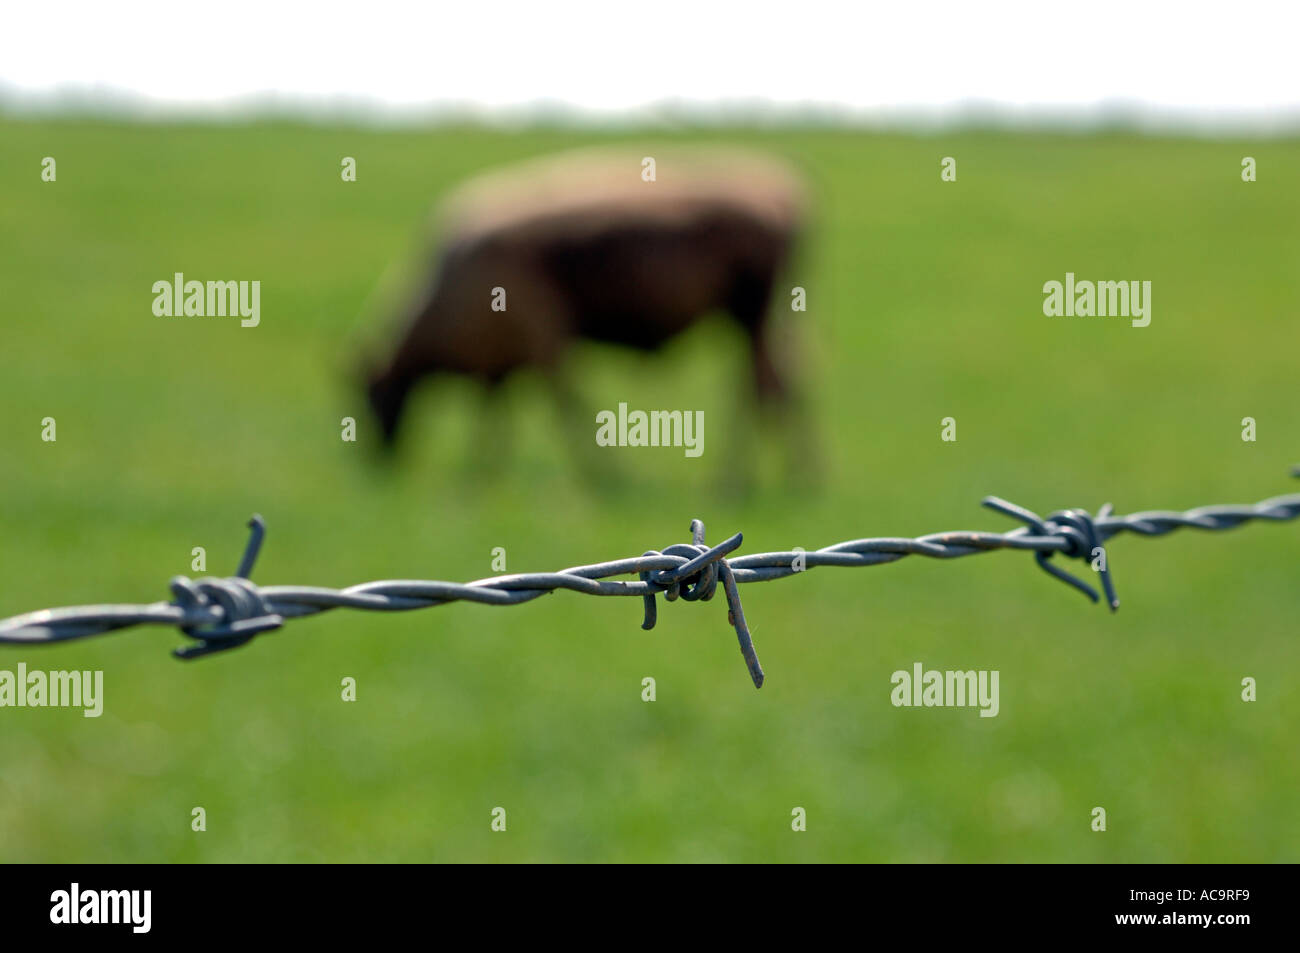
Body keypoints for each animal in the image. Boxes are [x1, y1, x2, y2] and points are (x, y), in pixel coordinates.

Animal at [362, 147, 809, 464]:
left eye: (367, 393)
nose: (374, 460)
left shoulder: (542, 341)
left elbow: (566, 409)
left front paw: (607, 476)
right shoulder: (502, 360)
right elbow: (497, 418)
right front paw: (481, 473)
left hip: (750, 317)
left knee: (757, 392)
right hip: (764, 322)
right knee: (783, 385)